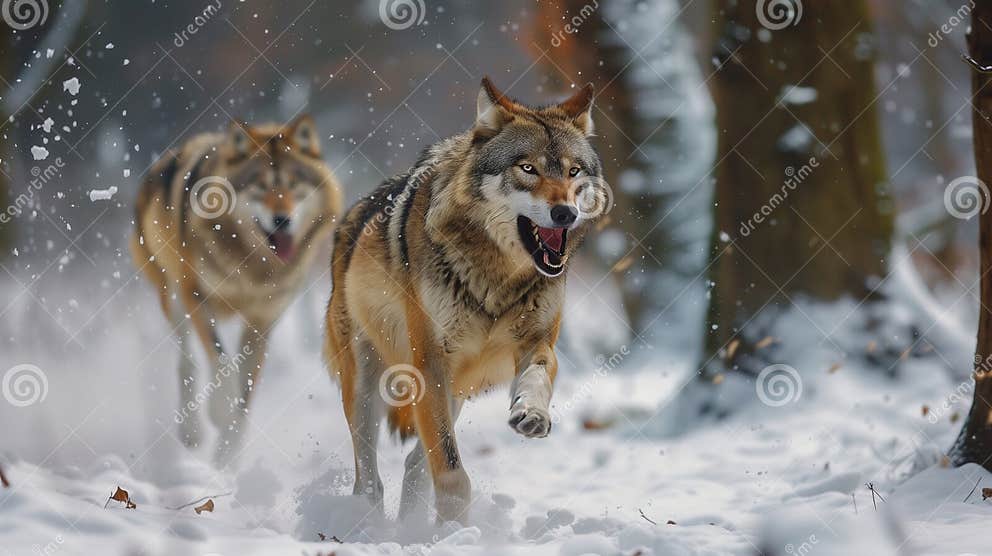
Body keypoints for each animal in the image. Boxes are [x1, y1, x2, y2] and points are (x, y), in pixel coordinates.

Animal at [132, 115, 343, 463]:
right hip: (173, 296)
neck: (251, 267)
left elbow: (246, 394)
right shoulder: (194, 295)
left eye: (293, 186)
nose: (282, 220)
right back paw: (192, 432)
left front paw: (226, 456)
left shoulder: (263, 320)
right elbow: (221, 362)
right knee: (187, 359)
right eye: (260, 186)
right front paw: (219, 412)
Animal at [324, 77, 607, 521]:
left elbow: (538, 377)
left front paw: (531, 413)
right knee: (369, 477)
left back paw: (411, 525)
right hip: (367, 384)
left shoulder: (537, 343)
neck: (497, 274)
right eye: (527, 168)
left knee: (413, 464)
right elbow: (452, 472)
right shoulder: (429, 364)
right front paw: (455, 528)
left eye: (573, 171)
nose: (565, 214)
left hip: (454, 390)